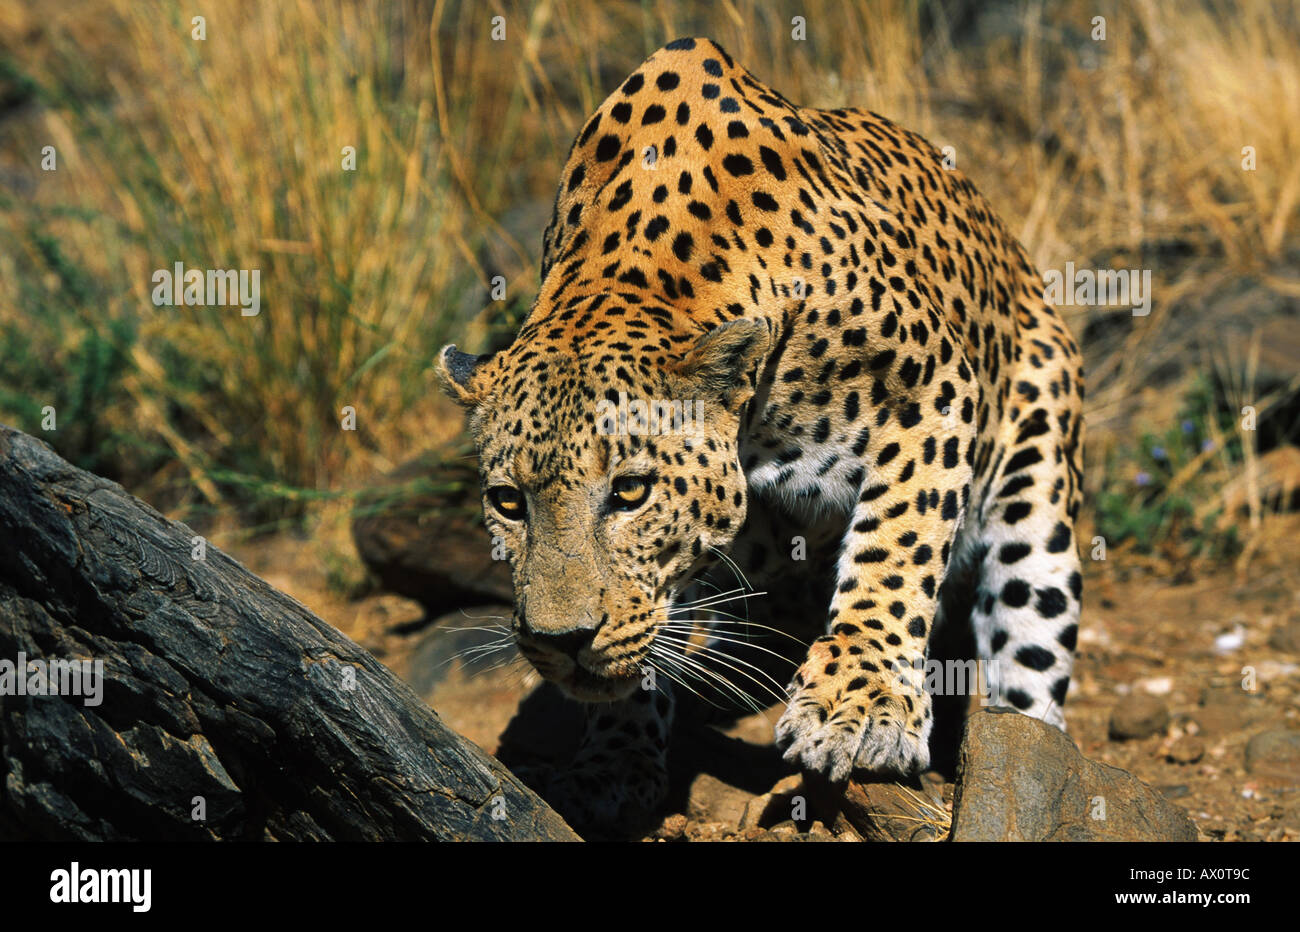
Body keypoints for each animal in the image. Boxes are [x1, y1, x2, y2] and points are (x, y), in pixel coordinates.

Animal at [438, 37, 1084, 831]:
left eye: (630, 493)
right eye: (508, 503)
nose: (562, 643)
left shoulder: (931, 389)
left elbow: (896, 546)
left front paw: (861, 704)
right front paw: (612, 761)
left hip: (1037, 506)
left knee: (1027, 662)